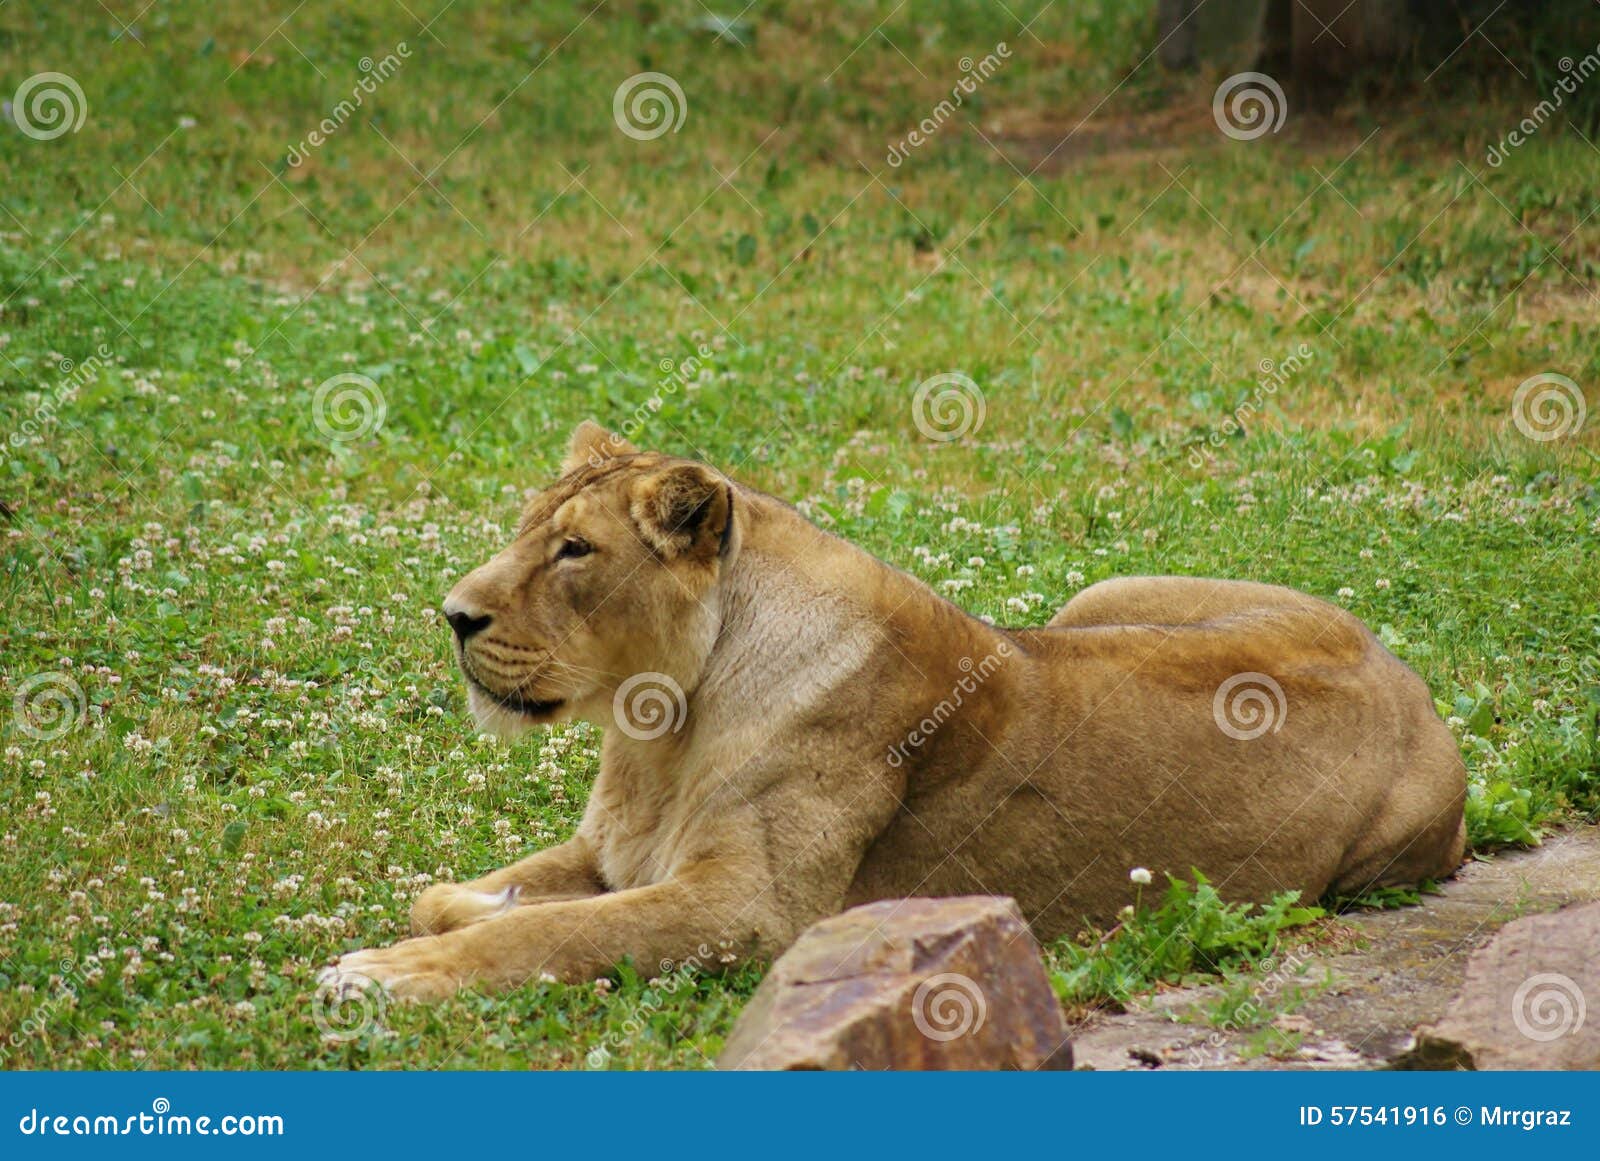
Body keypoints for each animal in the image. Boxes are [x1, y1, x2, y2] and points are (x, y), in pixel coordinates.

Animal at [322, 421, 1465, 999]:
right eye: (530, 528)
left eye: (574, 551)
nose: (453, 615)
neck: (658, 726)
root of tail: (1398, 667)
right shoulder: (617, 851)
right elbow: (458, 900)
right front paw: (473, 904)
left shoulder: (754, 915)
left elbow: (554, 937)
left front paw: (380, 973)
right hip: (1094, 599)